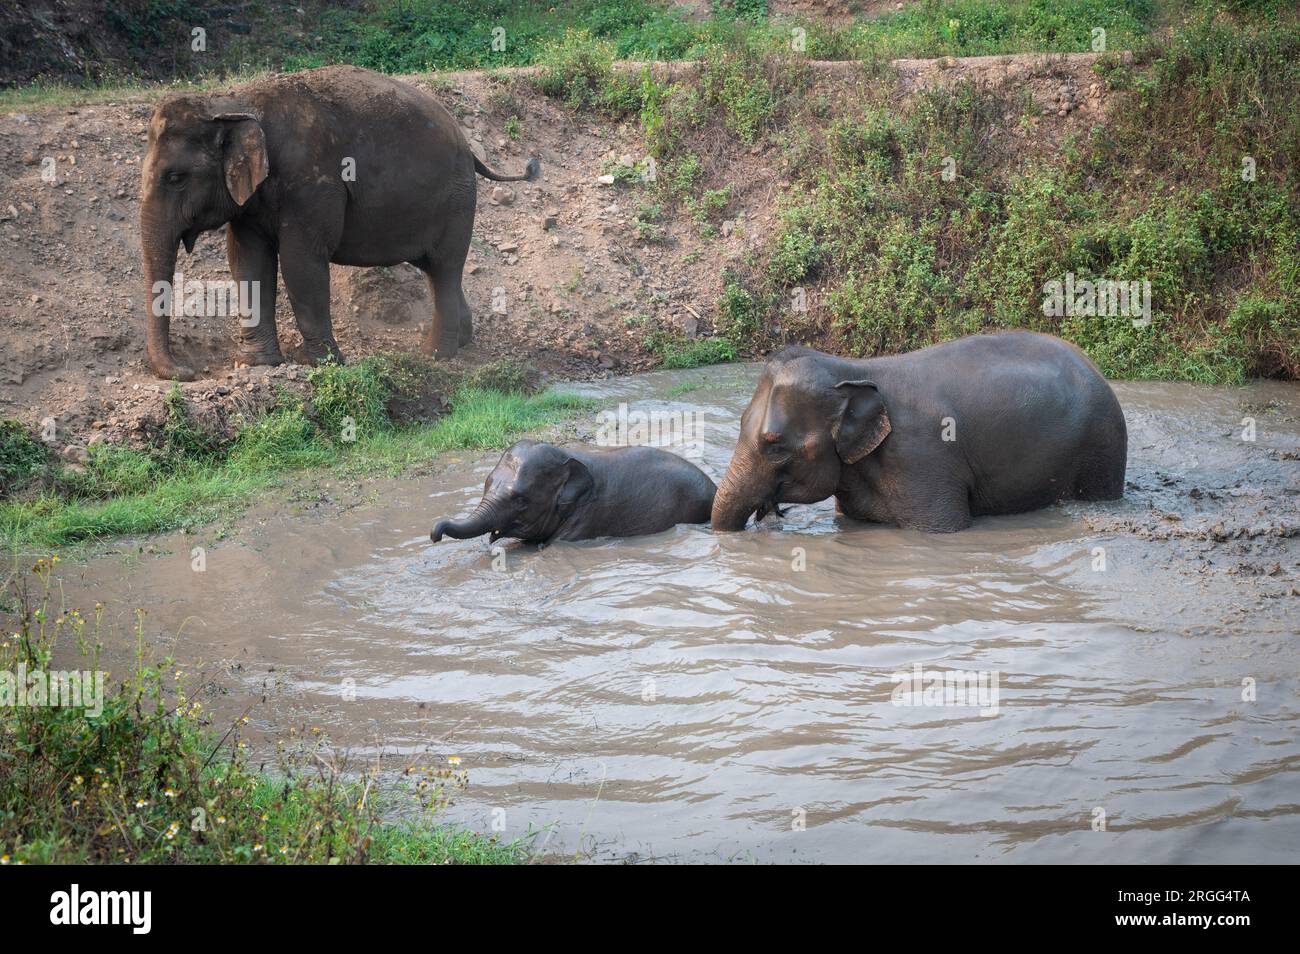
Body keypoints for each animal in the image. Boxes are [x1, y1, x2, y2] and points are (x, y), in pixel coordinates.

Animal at [139, 65, 538, 381]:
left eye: (175, 178)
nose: (188, 372)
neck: (235, 101)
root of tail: (470, 148)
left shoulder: (312, 183)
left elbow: (301, 262)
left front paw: (318, 362)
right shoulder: (249, 201)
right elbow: (248, 262)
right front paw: (259, 364)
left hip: (457, 200)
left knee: (444, 267)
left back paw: (435, 356)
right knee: (435, 269)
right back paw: (463, 340)